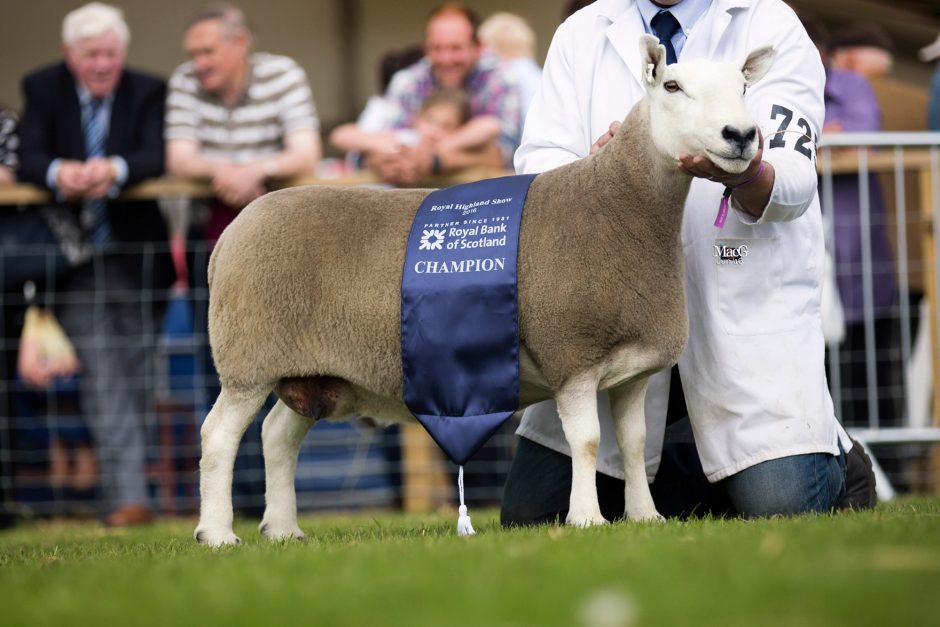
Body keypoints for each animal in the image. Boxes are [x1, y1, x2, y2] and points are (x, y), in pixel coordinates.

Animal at [194, 35, 776, 546]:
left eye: (744, 87)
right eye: (673, 86)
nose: (741, 134)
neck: (619, 207)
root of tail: (230, 236)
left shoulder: (631, 370)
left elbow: (633, 447)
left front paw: (645, 518)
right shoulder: (572, 354)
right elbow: (587, 441)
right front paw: (587, 520)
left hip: (311, 370)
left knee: (276, 437)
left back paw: (282, 530)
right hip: (249, 358)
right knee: (218, 437)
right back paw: (218, 534)